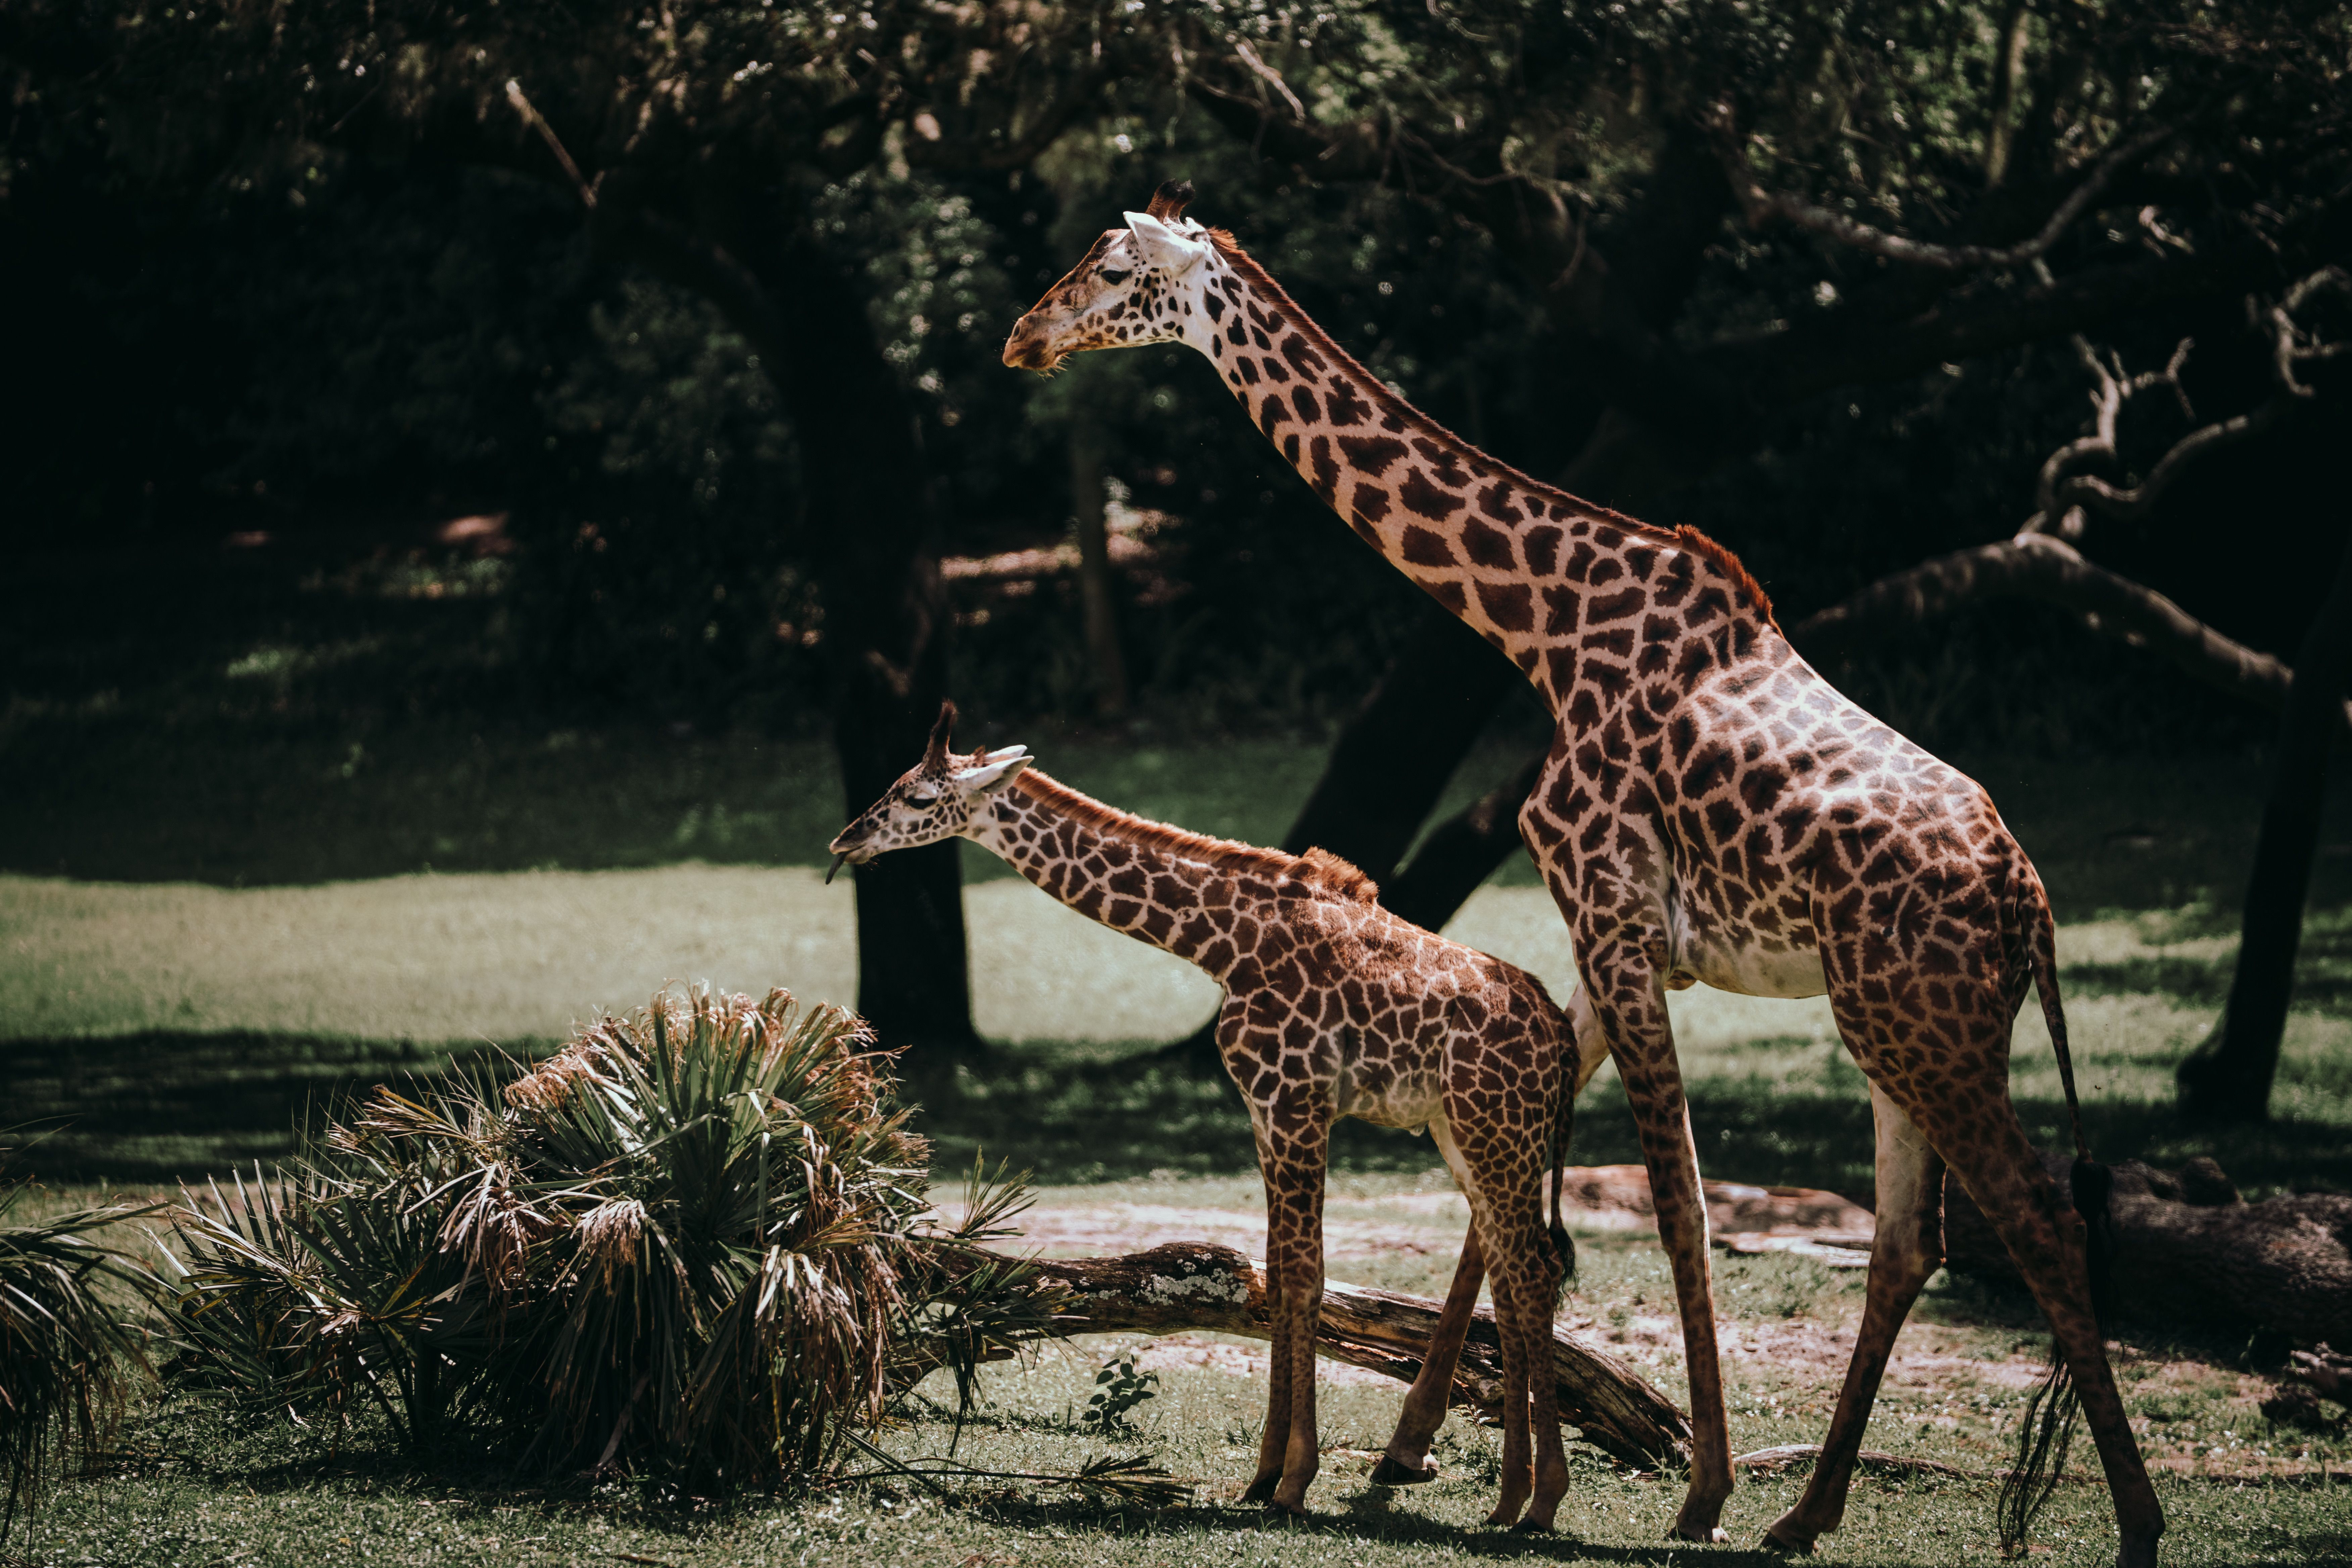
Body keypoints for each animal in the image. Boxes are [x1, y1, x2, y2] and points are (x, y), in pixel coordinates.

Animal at [828, 702, 1611, 1527]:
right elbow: (1275, 1272)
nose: (846, 840)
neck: (1223, 945)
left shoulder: (1296, 1099)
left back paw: (1542, 1500)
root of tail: (1560, 1039)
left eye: (917, 797)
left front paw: (1296, 1478)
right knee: (1516, 1271)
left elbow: (1306, 1275)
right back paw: (1510, 1498)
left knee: (1531, 1269)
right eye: (894, 783)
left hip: (1496, 1130)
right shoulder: (1264, 1108)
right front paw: (1264, 1475)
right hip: (1472, 1135)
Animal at [1002, 181, 2162, 1568]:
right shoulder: (1616, 938)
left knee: (2032, 1215)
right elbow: (1514, 1202)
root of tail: (2027, 904)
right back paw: (1804, 1511)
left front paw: (1688, 1488)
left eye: (1107, 267)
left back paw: (2125, 1521)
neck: (1545, 626)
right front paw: (1418, 1454)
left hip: (1921, 1023)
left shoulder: (1606, 908)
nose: (1019, 338)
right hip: (1893, 1023)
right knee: (1908, 1237)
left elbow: (1670, 1203)